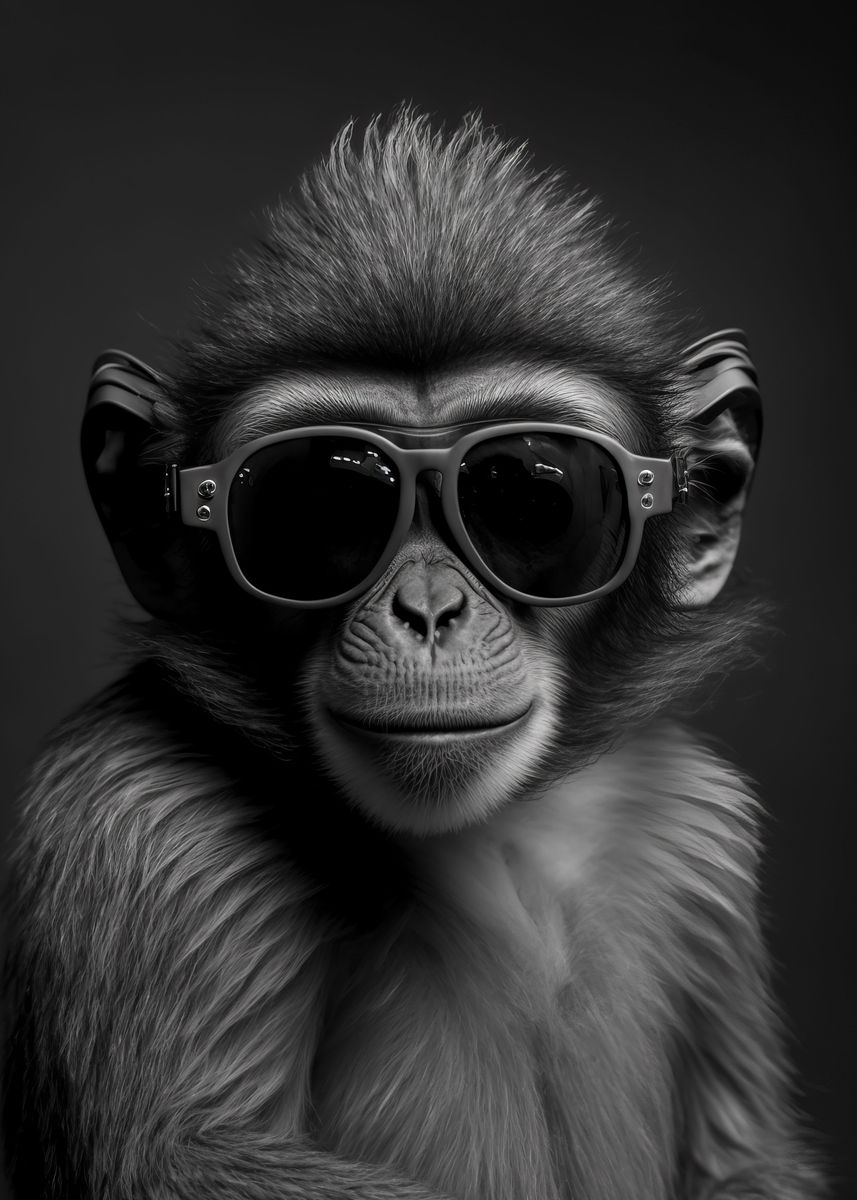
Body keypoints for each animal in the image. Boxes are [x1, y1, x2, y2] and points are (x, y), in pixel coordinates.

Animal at [2, 112, 823, 1200]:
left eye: (528, 494)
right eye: (318, 501)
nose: (427, 607)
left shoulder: (700, 828)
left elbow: (741, 1153)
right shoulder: (138, 818)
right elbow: (187, 1160)